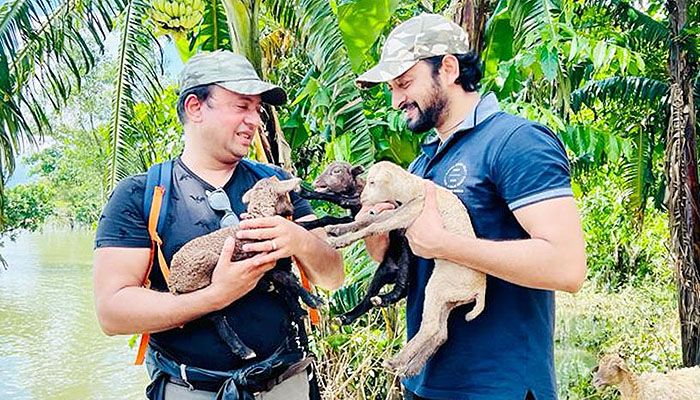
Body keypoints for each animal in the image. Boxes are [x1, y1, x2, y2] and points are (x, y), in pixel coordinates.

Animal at [168, 175, 324, 360]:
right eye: (287, 195)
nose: (292, 209)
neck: (258, 217)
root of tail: (172, 282)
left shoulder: (272, 264)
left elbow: (288, 280)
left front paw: (301, 308)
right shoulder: (266, 261)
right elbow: (290, 280)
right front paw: (314, 301)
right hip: (204, 280)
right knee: (217, 318)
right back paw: (244, 350)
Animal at [296, 161, 416, 326]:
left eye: (337, 171)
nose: (316, 182)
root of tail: (394, 271)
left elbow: (338, 198)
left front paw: (306, 192)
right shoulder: (353, 215)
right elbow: (330, 218)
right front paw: (305, 225)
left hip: (406, 258)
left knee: (402, 287)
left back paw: (384, 298)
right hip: (385, 268)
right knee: (370, 296)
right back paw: (347, 317)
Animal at [324, 161, 484, 376]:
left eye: (373, 182)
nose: (362, 199)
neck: (416, 189)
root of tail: (480, 290)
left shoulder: (408, 214)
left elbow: (372, 227)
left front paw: (339, 241)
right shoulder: (398, 211)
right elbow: (369, 220)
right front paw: (337, 230)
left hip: (436, 287)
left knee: (430, 328)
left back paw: (395, 362)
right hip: (448, 300)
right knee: (441, 333)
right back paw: (411, 367)